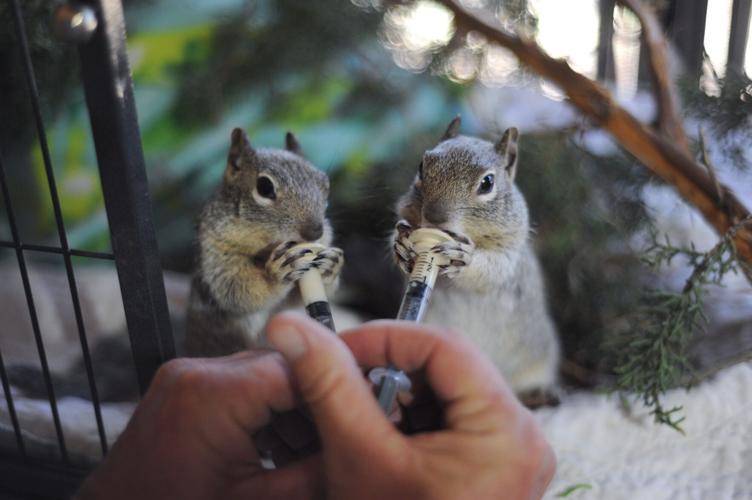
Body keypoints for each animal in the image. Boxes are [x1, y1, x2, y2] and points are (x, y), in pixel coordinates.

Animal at [185, 128, 343, 357]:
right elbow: (235, 290)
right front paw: (274, 275)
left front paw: (331, 266)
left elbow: (293, 299)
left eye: (325, 184)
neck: (265, 247)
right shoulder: (216, 254)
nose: (315, 232)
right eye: (264, 187)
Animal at [393, 116, 560, 401]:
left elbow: (493, 269)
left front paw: (464, 255)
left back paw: (539, 394)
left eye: (487, 183)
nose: (434, 217)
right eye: (421, 167)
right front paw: (400, 245)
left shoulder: (510, 253)